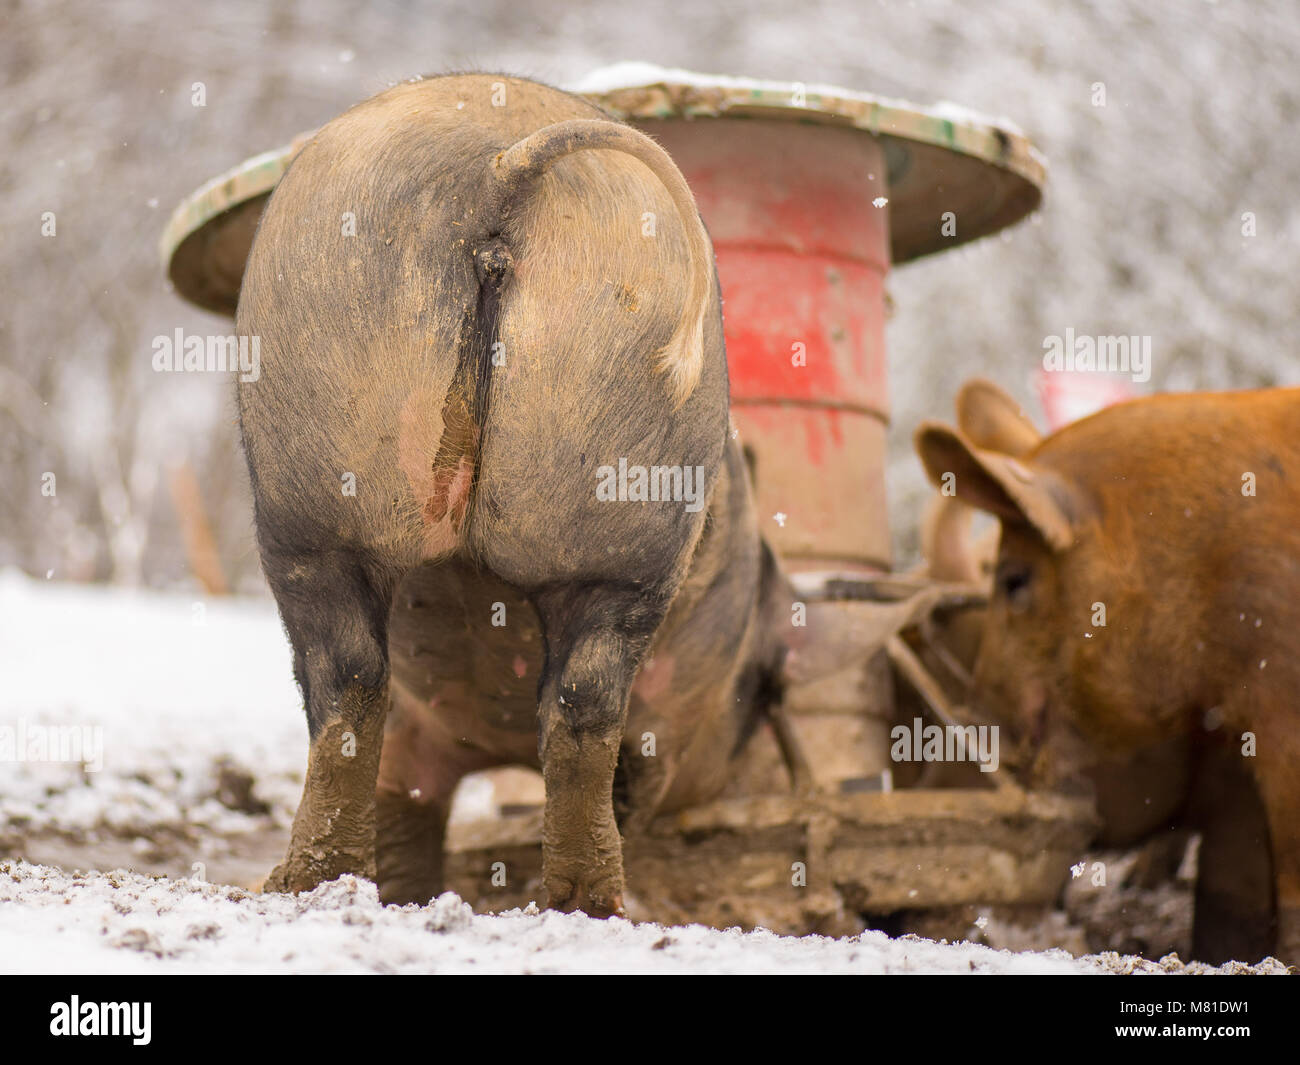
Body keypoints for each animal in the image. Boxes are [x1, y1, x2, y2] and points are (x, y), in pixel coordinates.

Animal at [233, 73, 805, 917]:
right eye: (762, 688)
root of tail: (501, 165)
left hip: (310, 503)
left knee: (358, 681)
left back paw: (308, 883)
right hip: (615, 503)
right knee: (578, 703)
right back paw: (582, 900)